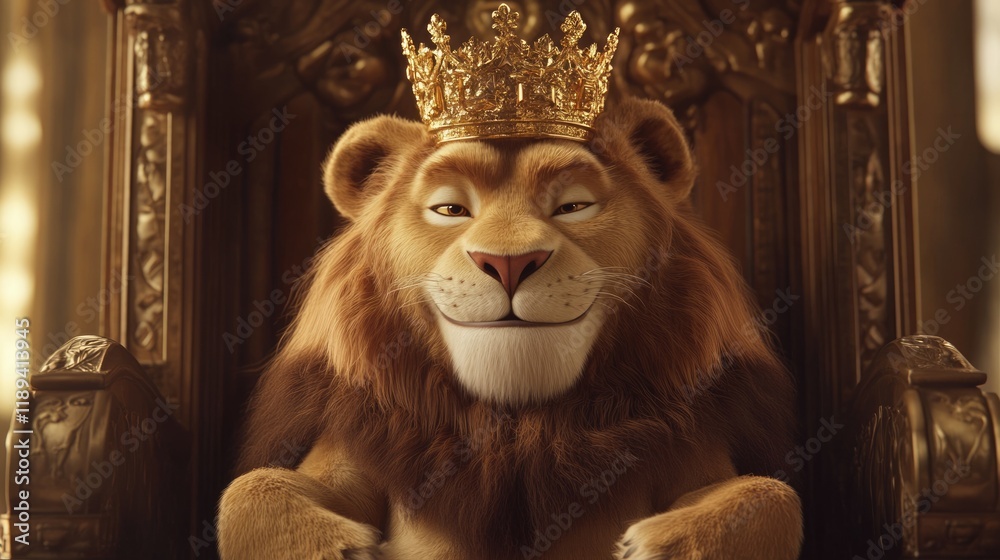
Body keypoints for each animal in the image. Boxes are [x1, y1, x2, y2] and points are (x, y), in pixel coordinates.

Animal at [217, 97, 803, 560]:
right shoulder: (353, 452)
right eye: (451, 208)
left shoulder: (690, 453)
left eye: (573, 205)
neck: (515, 428)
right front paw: (335, 547)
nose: (509, 263)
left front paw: (668, 546)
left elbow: (772, 495)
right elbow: (249, 490)